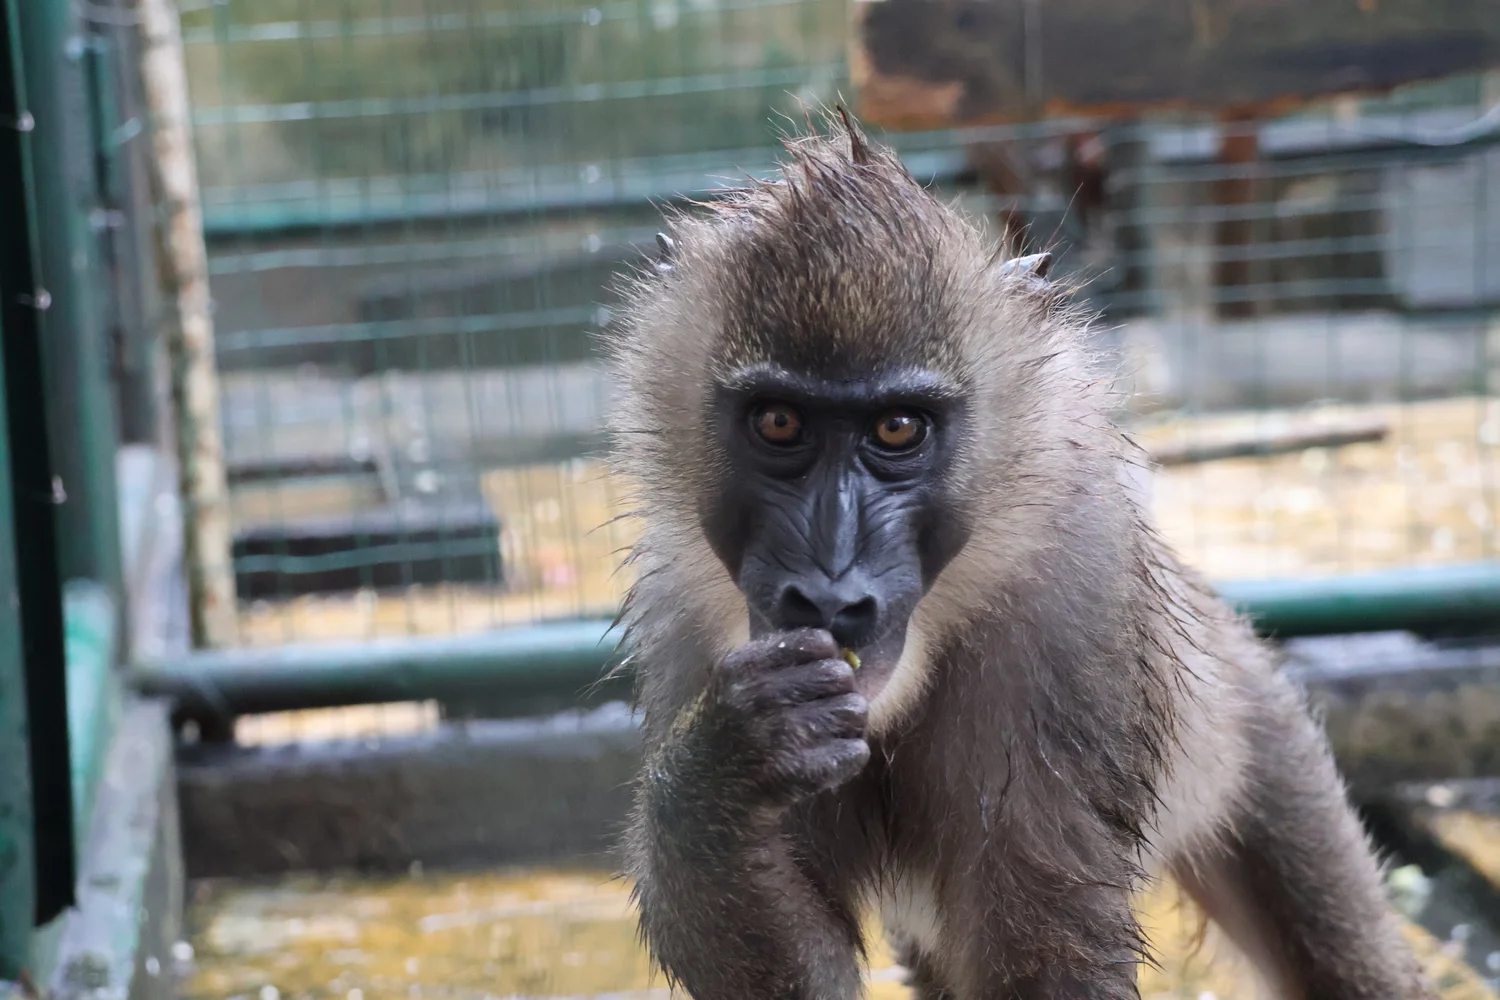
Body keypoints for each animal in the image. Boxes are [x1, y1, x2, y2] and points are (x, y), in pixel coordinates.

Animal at [600, 109, 1435, 1000]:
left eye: (897, 428)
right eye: (780, 423)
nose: (828, 596)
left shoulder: (1069, 624)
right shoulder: (687, 621)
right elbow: (811, 967)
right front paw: (727, 766)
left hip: (1270, 750)